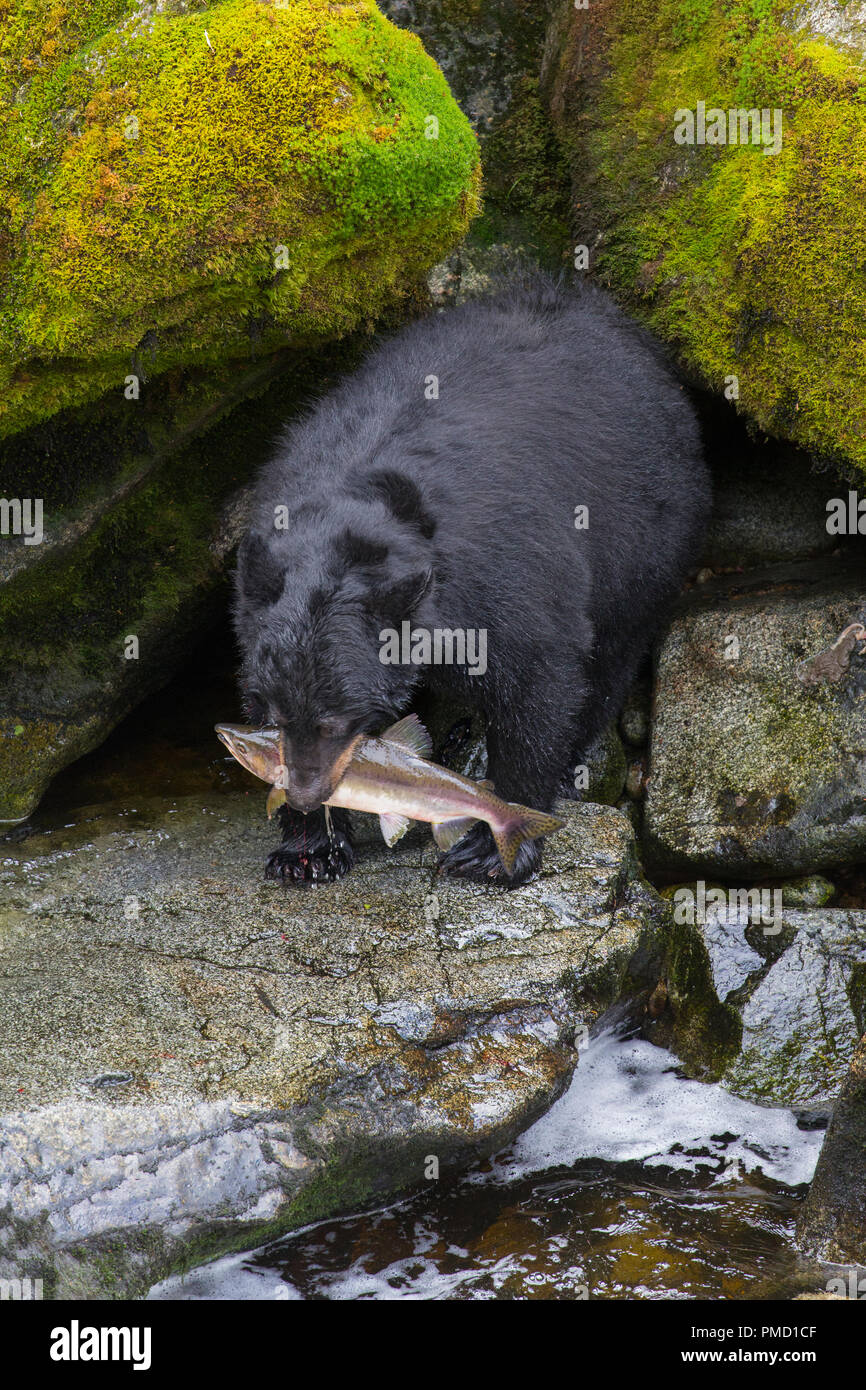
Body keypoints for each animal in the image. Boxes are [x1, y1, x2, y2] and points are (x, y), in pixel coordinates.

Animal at [232, 271, 710, 887]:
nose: (307, 794)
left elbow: (537, 678)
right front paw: (308, 850)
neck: (358, 520)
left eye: (336, 717)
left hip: (646, 537)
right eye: (275, 714)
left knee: (612, 655)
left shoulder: (499, 576)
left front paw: (493, 845)